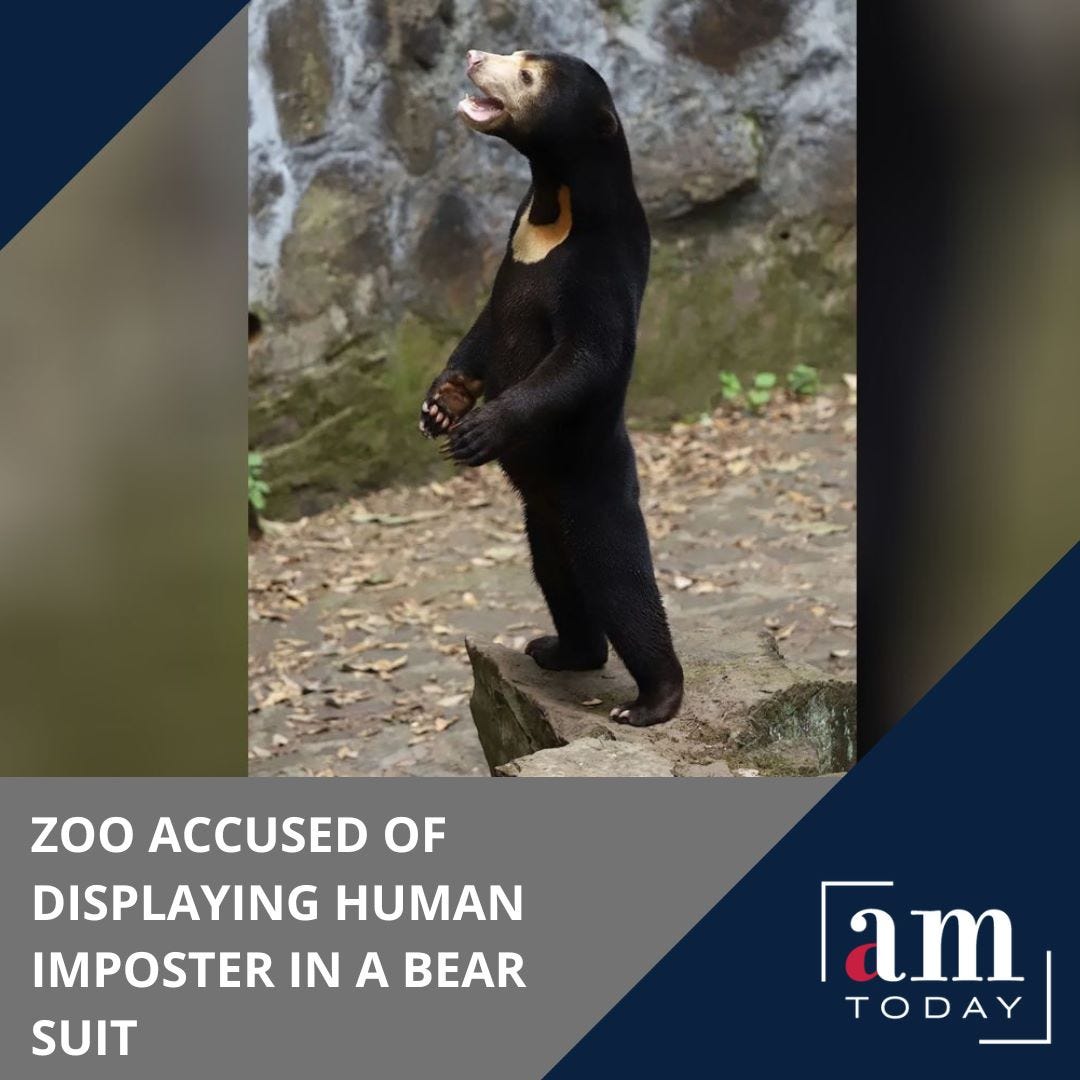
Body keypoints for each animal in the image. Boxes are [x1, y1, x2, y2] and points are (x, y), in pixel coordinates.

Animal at [419, 49, 683, 726]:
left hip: (591, 486)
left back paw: (653, 701)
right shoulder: (512, 249)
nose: (473, 55)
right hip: (541, 516)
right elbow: (485, 327)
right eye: (517, 53)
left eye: (527, 76)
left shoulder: (598, 266)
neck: (552, 203)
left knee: (619, 582)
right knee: (558, 576)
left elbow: (586, 355)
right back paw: (560, 650)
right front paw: (440, 407)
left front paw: (478, 431)